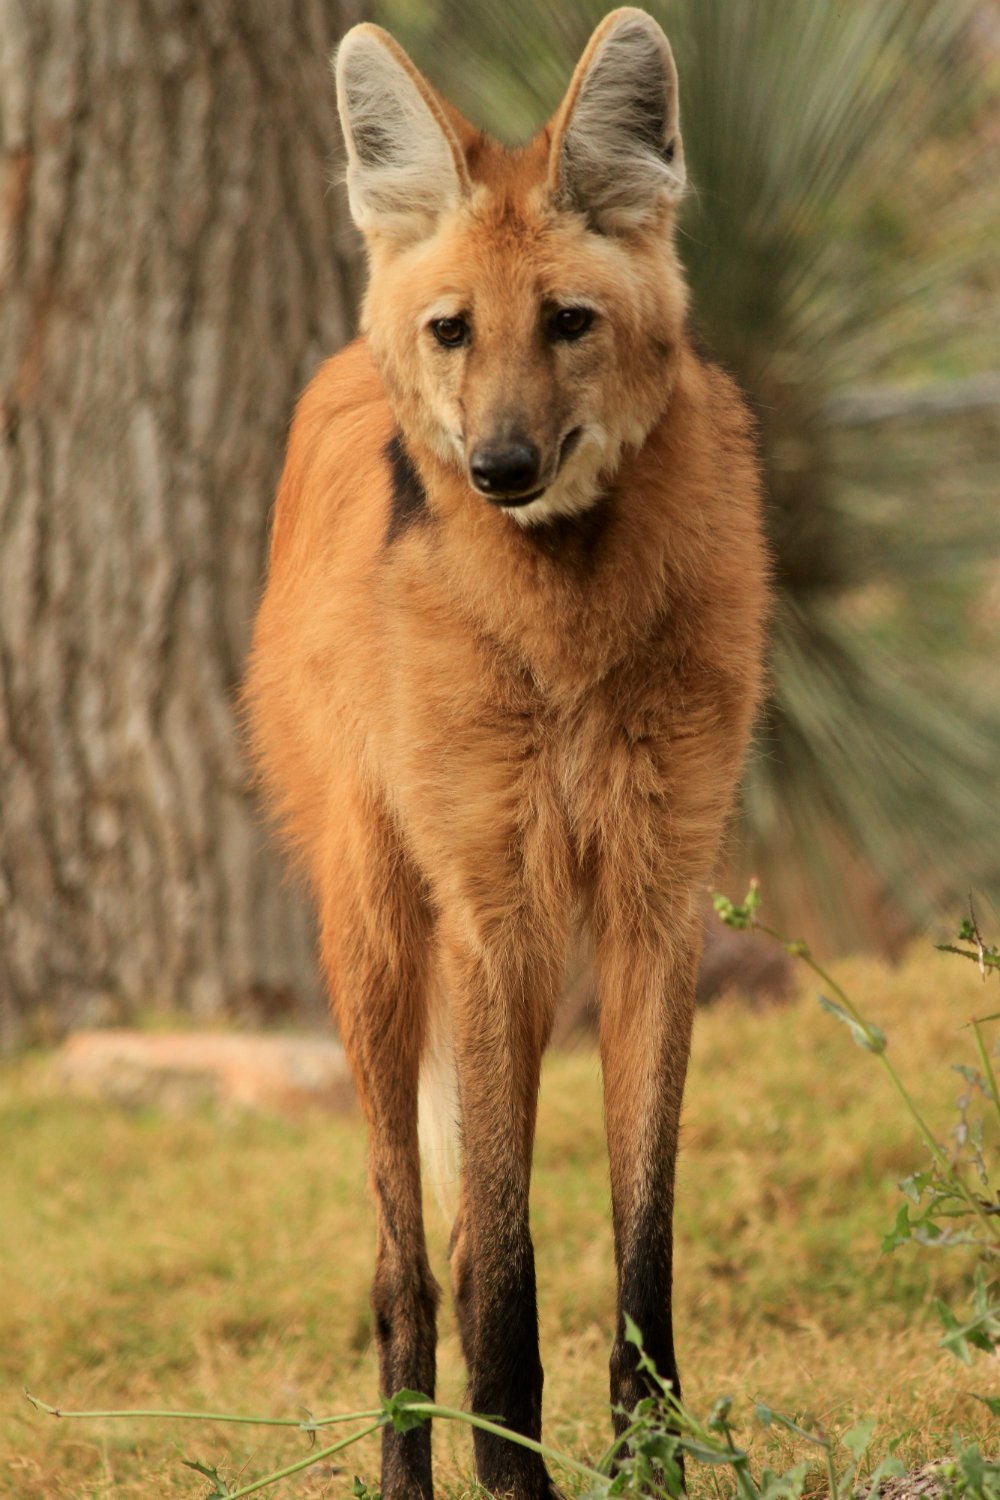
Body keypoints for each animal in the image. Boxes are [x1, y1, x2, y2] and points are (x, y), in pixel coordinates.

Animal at [244, 9, 769, 1498]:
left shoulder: (654, 901)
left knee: (466, 1237)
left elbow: (638, 1245)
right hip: (377, 935)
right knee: (411, 1266)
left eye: (569, 324)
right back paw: (414, 1462)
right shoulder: (499, 908)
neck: (568, 627)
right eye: (456, 332)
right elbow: (504, 1278)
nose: (499, 466)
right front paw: (515, 1473)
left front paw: (651, 1462)